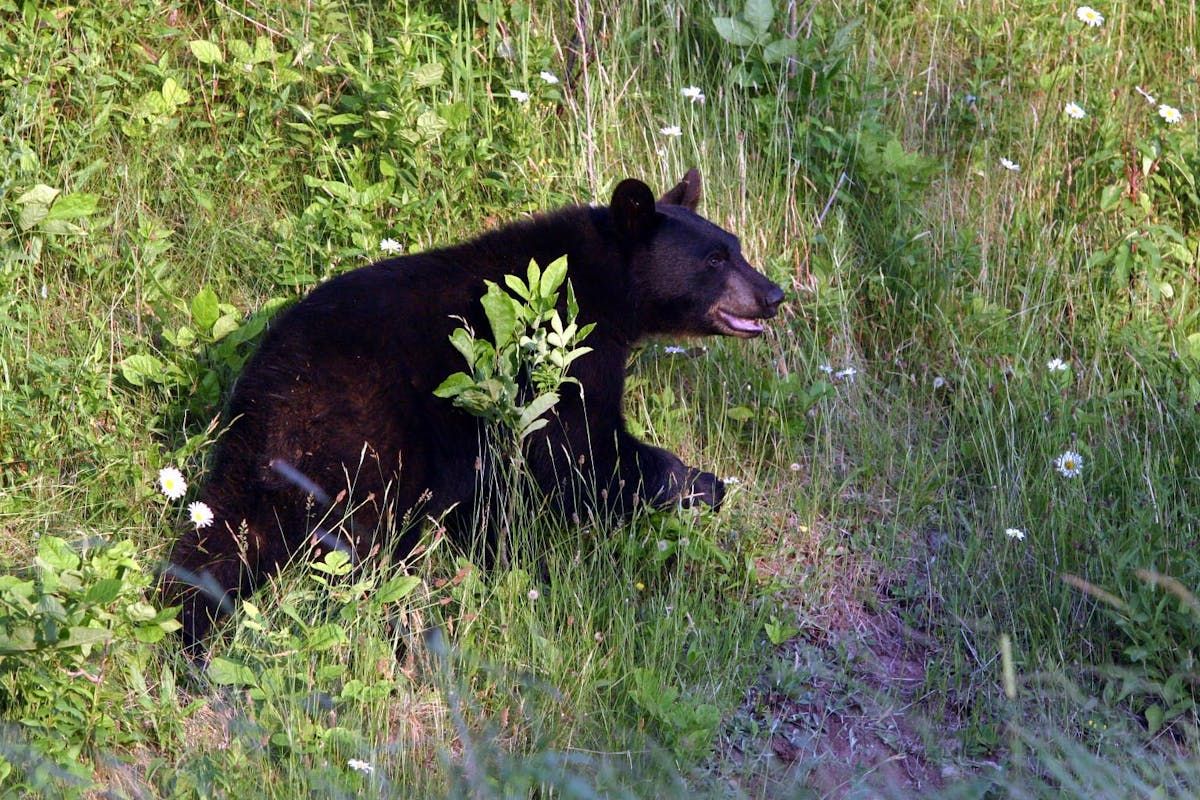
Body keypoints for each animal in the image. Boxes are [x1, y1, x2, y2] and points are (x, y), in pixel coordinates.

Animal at [163, 169, 785, 652]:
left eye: (736, 247)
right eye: (716, 258)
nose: (774, 294)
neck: (595, 282)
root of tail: (268, 388)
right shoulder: (560, 353)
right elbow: (582, 449)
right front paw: (699, 482)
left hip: (258, 457)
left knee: (228, 531)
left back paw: (189, 623)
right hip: (367, 434)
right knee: (365, 536)